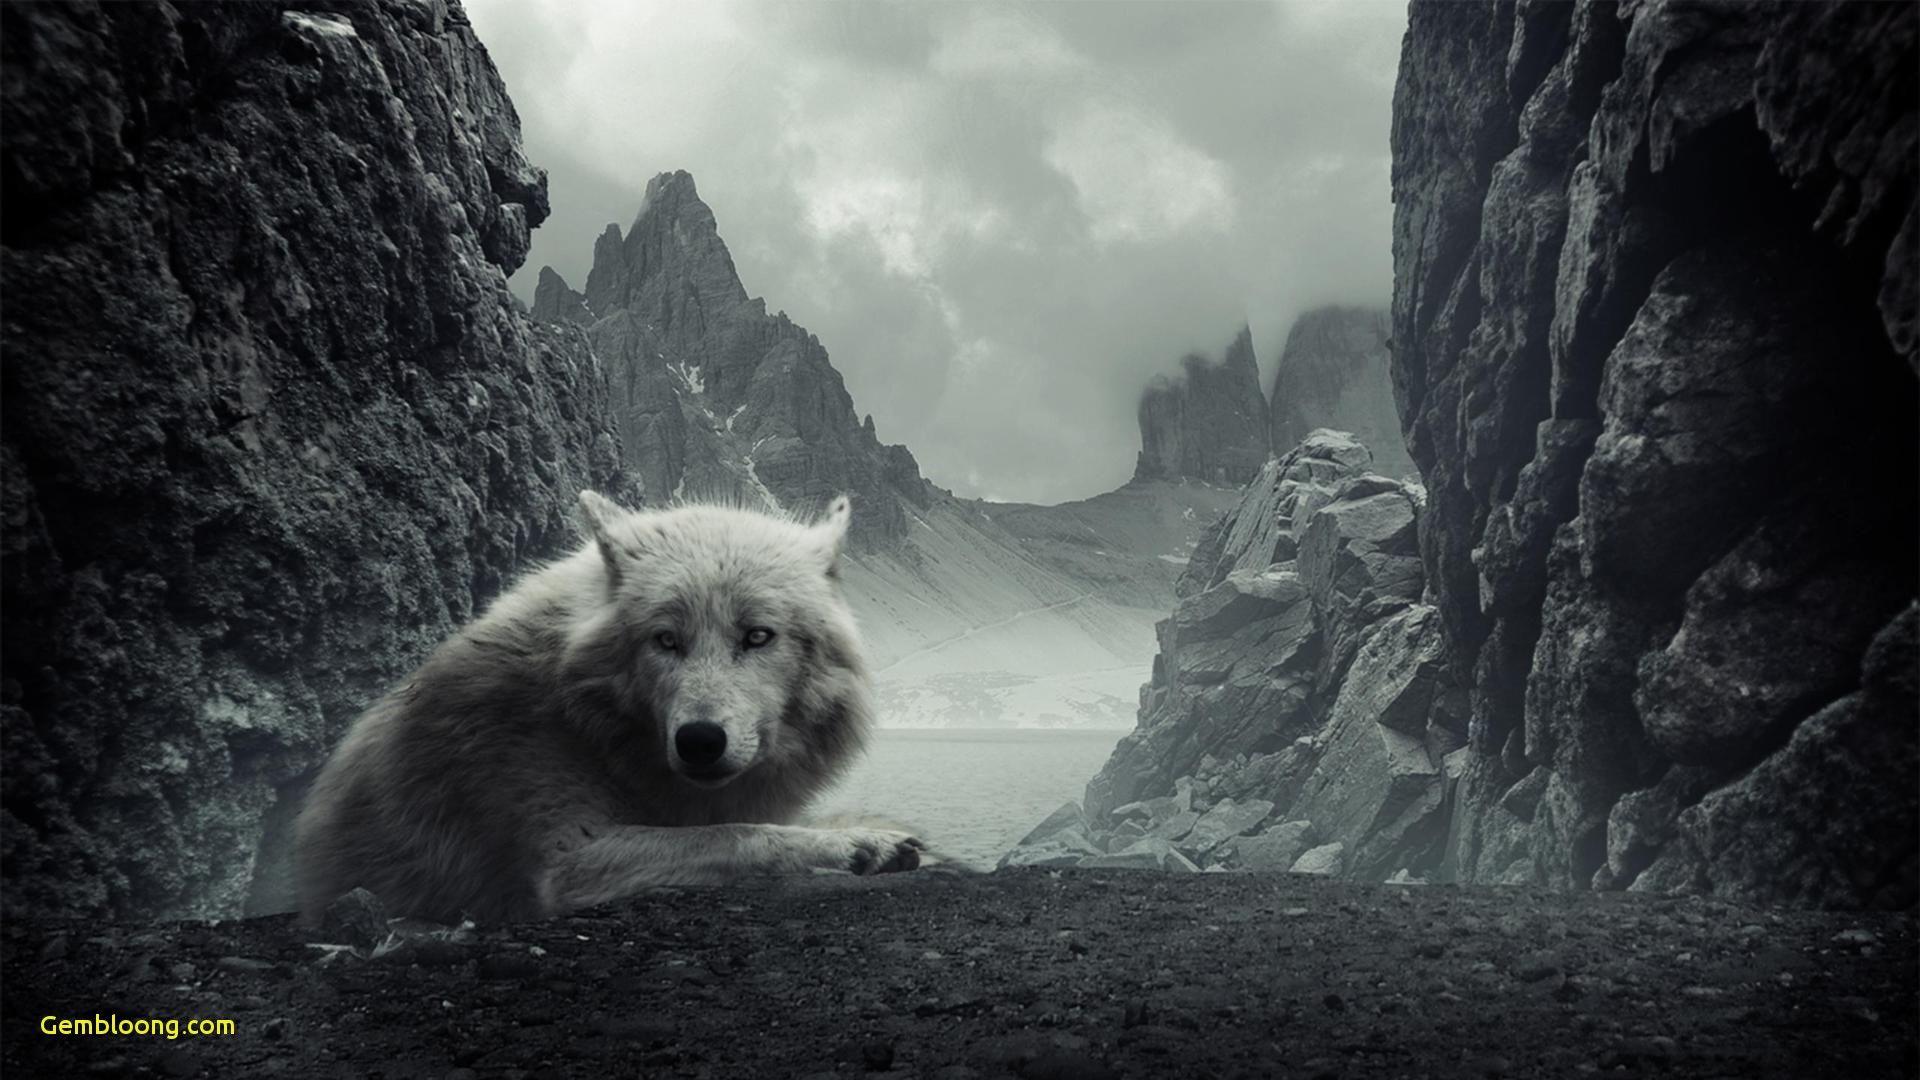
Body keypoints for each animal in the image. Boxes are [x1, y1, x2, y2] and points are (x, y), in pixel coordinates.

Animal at [295, 492, 922, 924]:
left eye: (758, 636)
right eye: (665, 640)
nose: (699, 741)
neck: (589, 727)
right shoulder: (566, 861)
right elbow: (738, 835)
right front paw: (859, 844)